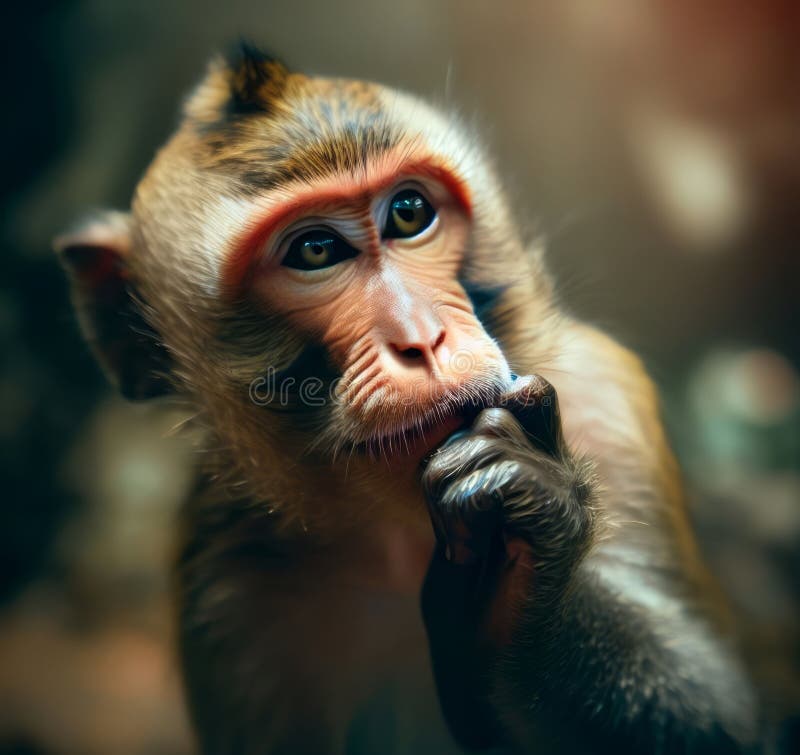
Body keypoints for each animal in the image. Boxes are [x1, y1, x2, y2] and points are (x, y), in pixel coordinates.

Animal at [55, 45, 761, 754]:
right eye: (315, 250)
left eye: (409, 213)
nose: (422, 338)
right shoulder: (228, 584)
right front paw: (509, 581)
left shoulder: (608, 408)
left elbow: (730, 720)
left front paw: (522, 560)